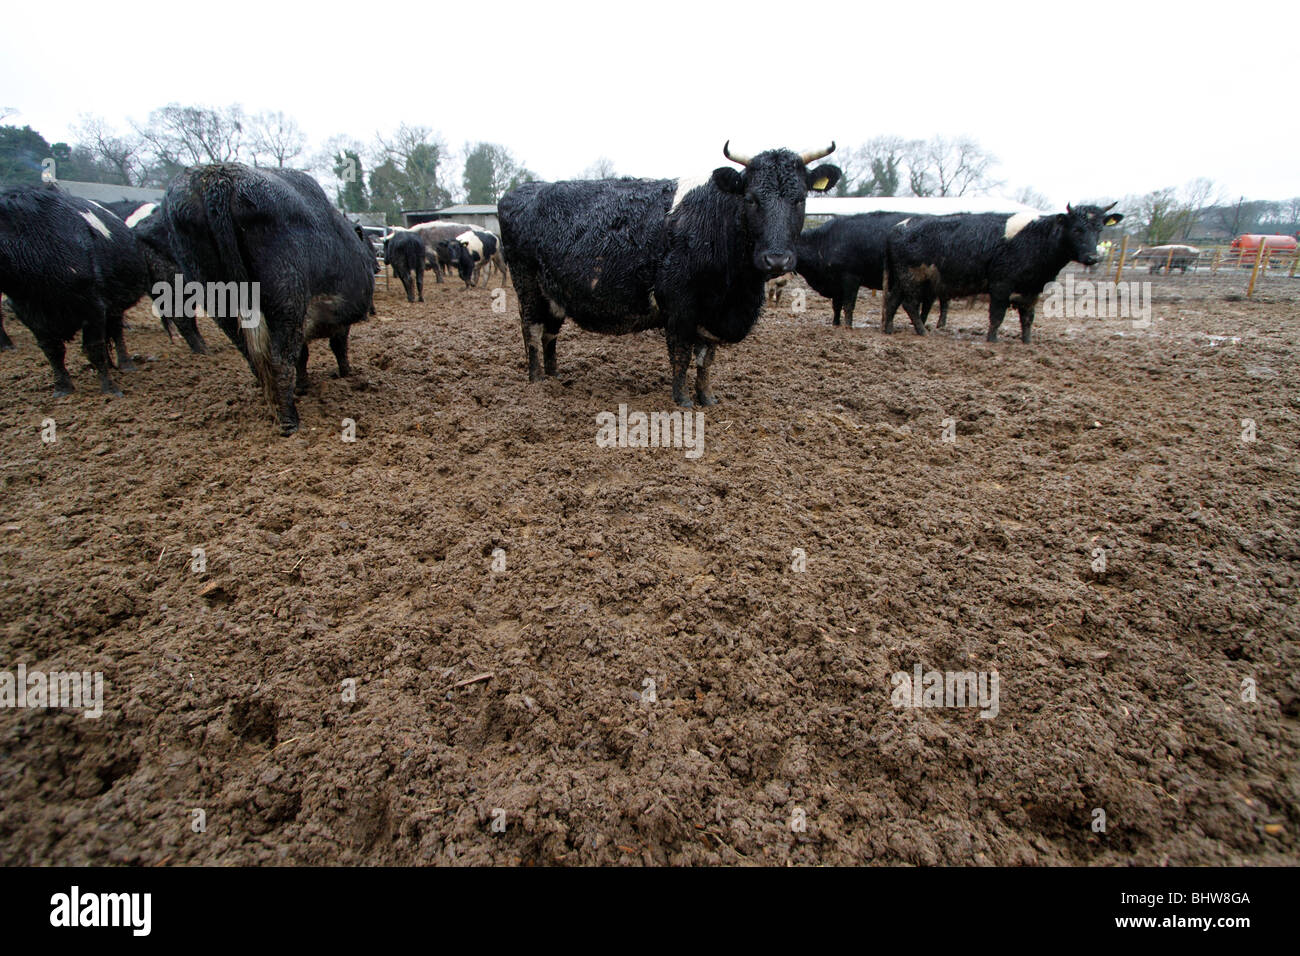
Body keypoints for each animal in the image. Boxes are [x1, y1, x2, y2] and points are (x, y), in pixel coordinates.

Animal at [0, 184, 150, 395]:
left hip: (114, 305)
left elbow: (93, 348)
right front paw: (63, 389)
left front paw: (109, 388)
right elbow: (52, 350)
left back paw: (126, 364)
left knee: (116, 332)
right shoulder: (28, 313)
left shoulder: (93, 306)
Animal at [163, 163, 373, 435]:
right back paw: (289, 421)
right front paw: (346, 374)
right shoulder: (336, 317)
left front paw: (303, 386)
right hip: (287, 297)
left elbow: (303, 355)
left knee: (255, 359)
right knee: (279, 361)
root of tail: (219, 179)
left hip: (218, 299)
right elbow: (337, 346)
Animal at [499, 142, 841, 406]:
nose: (777, 259)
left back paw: (555, 378)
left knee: (549, 334)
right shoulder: (679, 305)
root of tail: (522, 191)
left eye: (800, 199)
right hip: (527, 285)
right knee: (531, 331)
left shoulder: (710, 314)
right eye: (751, 198)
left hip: (555, 294)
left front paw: (707, 398)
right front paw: (683, 400)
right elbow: (682, 355)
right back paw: (537, 382)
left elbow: (706, 359)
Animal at [884, 203, 1123, 343]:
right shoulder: (1001, 284)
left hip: (902, 279)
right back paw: (922, 331)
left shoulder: (1033, 289)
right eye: (1076, 229)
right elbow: (997, 316)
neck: (1036, 238)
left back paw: (889, 329)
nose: (1092, 258)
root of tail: (899, 226)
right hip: (913, 277)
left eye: (1099, 229)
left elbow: (1028, 318)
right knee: (909, 304)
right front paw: (992, 341)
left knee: (893, 301)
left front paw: (1027, 343)